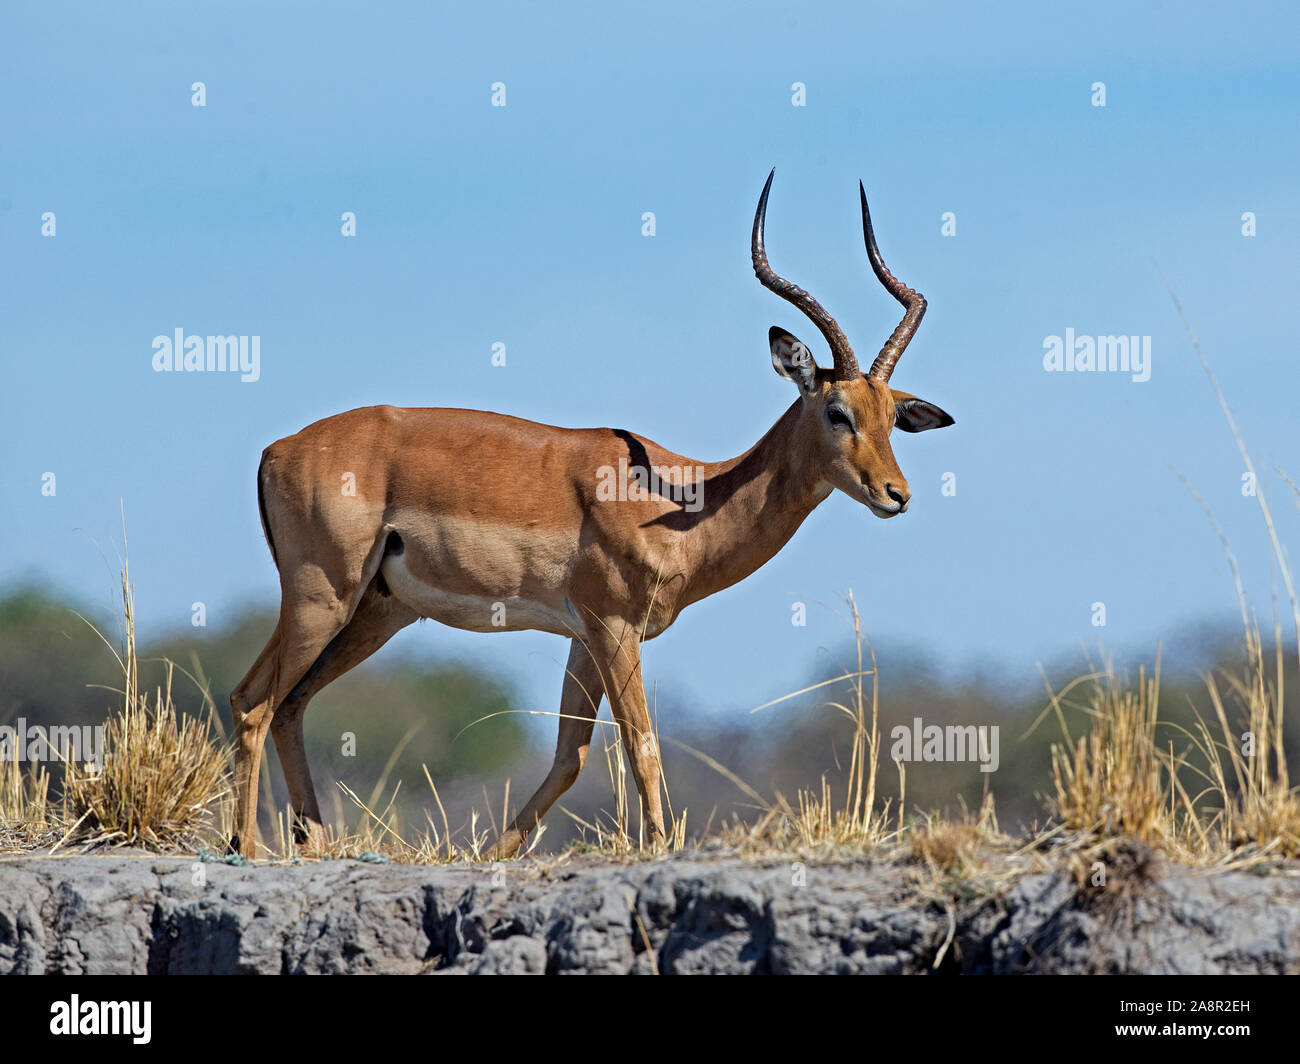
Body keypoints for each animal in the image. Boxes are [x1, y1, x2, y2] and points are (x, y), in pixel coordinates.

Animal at [229, 171, 954, 859]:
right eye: (838, 412)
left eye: (891, 417)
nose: (896, 493)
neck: (681, 501)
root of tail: (276, 449)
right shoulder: (613, 628)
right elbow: (642, 745)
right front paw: (659, 847)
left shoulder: (582, 637)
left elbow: (569, 759)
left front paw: (492, 855)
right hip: (322, 596)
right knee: (252, 701)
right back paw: (248, 848)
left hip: (377, 610)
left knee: (290, 704)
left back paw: (313, 841)